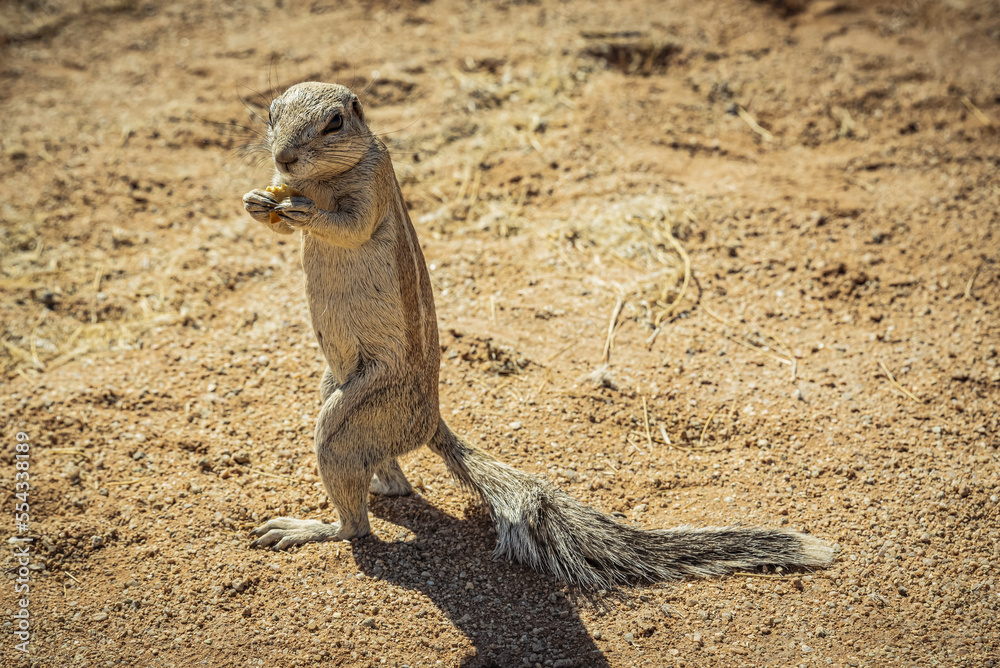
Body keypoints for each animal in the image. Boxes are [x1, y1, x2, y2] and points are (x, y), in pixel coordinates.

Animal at [242, 82, 834, 588]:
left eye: (335, 122)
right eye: (270, 113)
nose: (283, 160)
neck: (322, 178)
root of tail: (431, 420)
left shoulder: (372, 191)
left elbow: (347, 224)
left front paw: (296, 208)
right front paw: (256, 201)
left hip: (345, 419)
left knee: (357, 522)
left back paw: (309, 526)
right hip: (333, 382)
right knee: (389, 475)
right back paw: (380, 487)